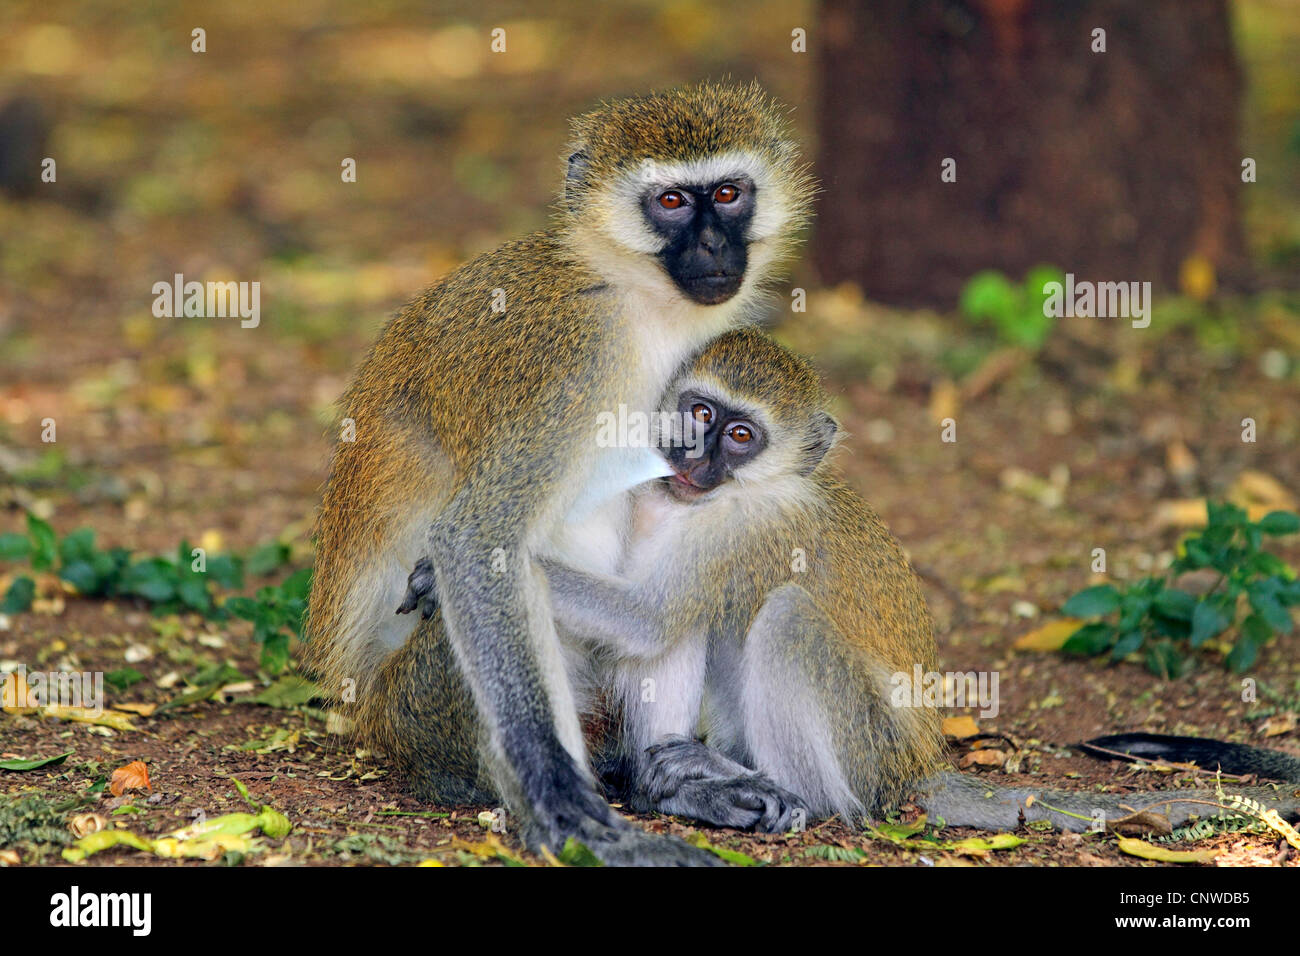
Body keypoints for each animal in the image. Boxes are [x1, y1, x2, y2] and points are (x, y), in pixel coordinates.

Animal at [303, 82, 815, 865]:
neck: (631, 297)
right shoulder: (569, 358)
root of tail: (360, 704)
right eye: (671, 202)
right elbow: (475, 542)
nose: (711, 246)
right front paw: (559, 798)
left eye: (728, 193)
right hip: (415, 705)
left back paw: (665, 779)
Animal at [403, 328, 1300, 837]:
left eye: (740, 436)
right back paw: (691, 774)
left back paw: (789, 795)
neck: (716, 498)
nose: (696, 459)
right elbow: (651, 622)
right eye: (699, 414)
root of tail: (918, 766)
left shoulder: (747, 528)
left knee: (780, 619)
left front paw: (446, 570)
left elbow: (651, 619)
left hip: (866, 751)